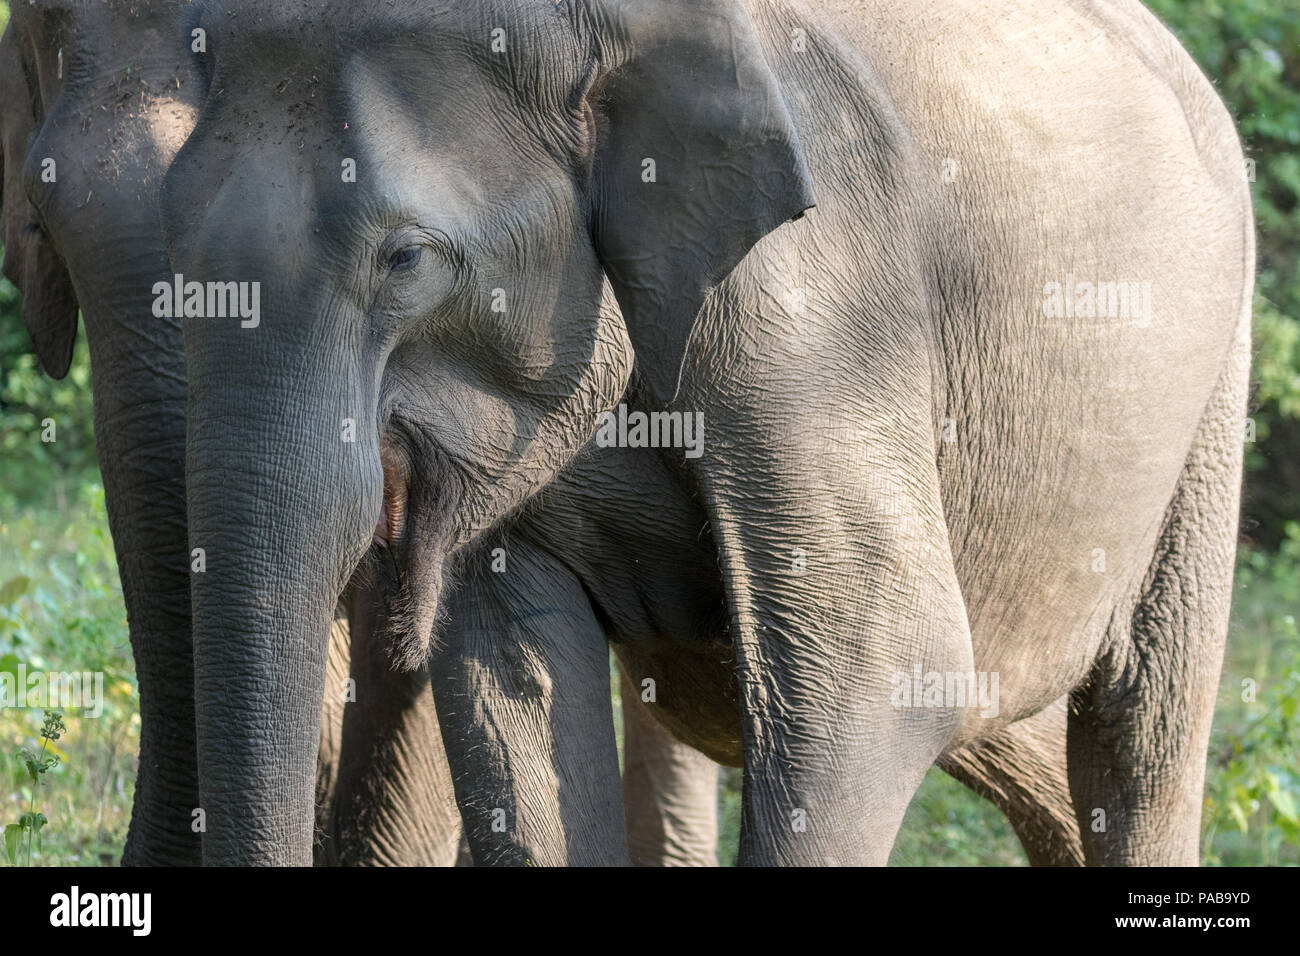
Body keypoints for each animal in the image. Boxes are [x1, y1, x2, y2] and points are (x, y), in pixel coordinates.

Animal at [160, 0, 1249, 866]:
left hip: (1213, 390)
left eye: (407, 258)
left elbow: (877, 664)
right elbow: (515, 682)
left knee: (1137, 725)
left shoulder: (815, 300)